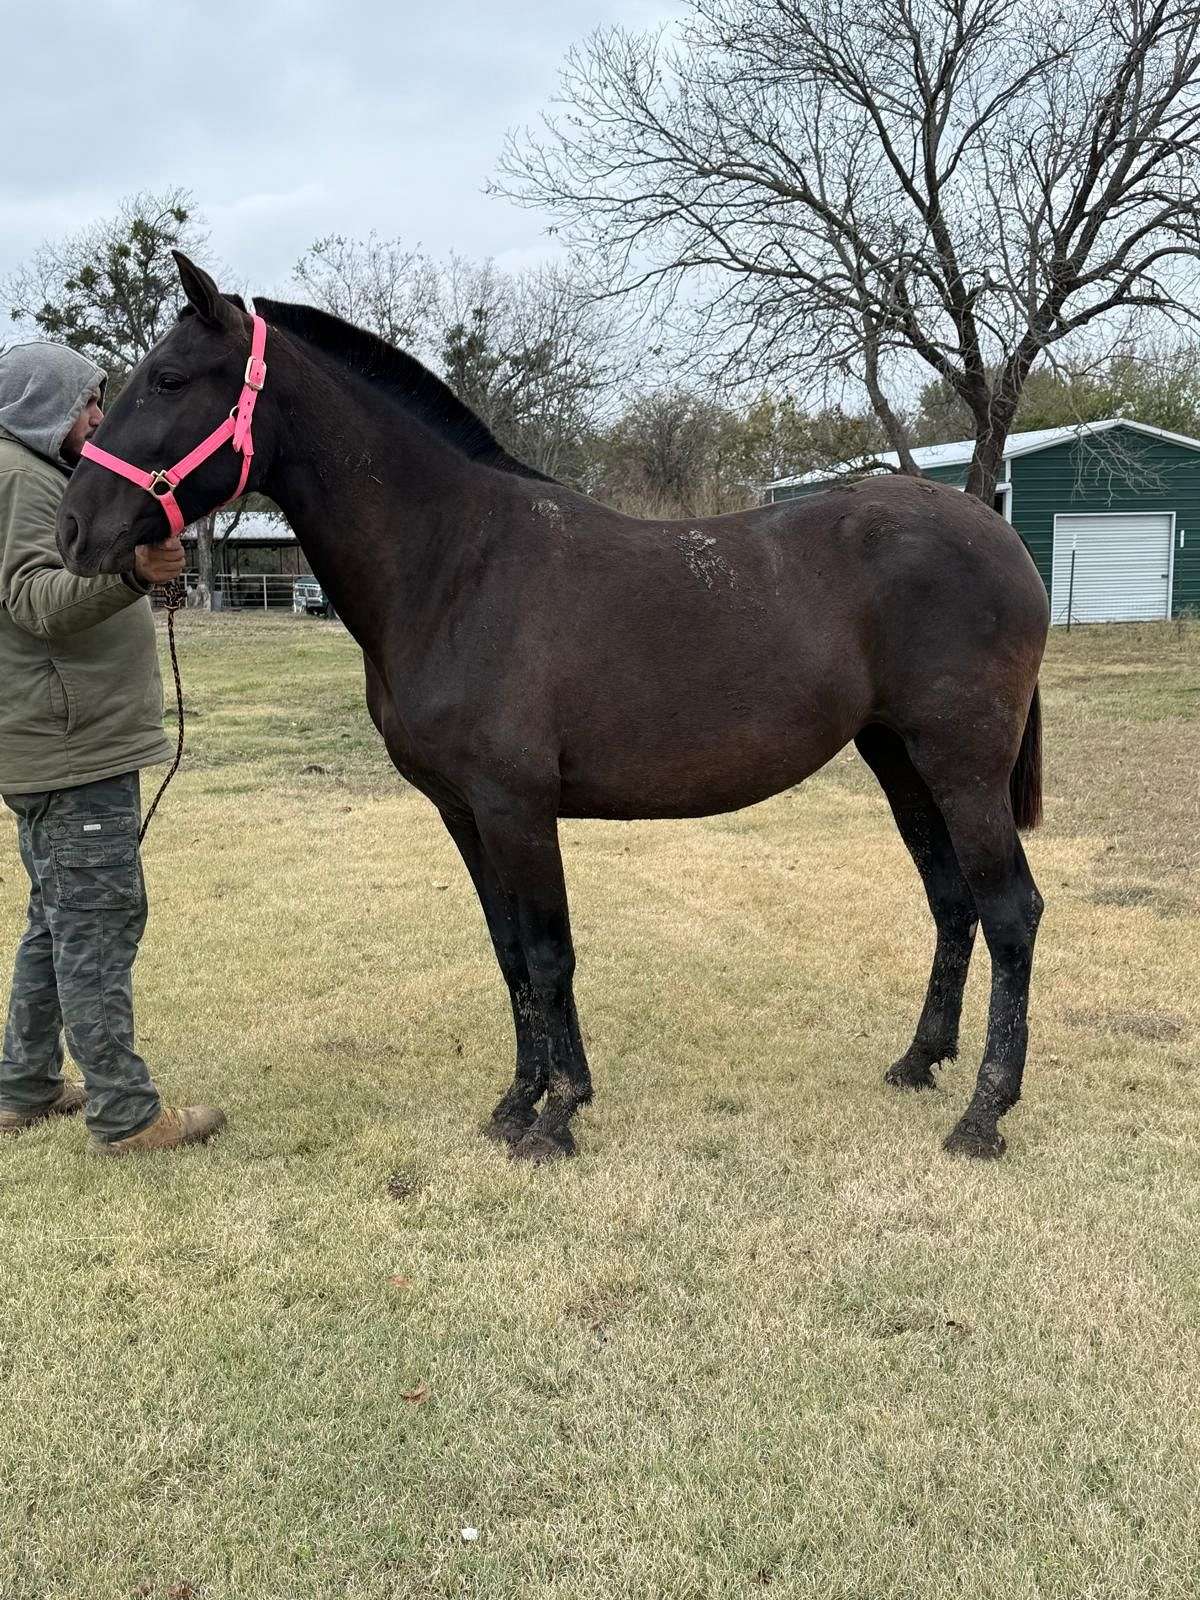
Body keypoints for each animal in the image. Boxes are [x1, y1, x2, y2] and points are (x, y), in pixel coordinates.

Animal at [58, 252, 1049, 1163]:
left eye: (170, 378)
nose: (74, 530)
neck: (455, 564)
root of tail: (996, 532)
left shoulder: (517, 807)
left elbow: (549, 952)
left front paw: (559, 1114)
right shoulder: (463, 813)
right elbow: (510, 956)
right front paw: (516, 1102)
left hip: (962, 766)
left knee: (1010, 912)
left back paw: (984, 1115)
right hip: (899, 759)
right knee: (952, 903)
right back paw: (920, 1062)